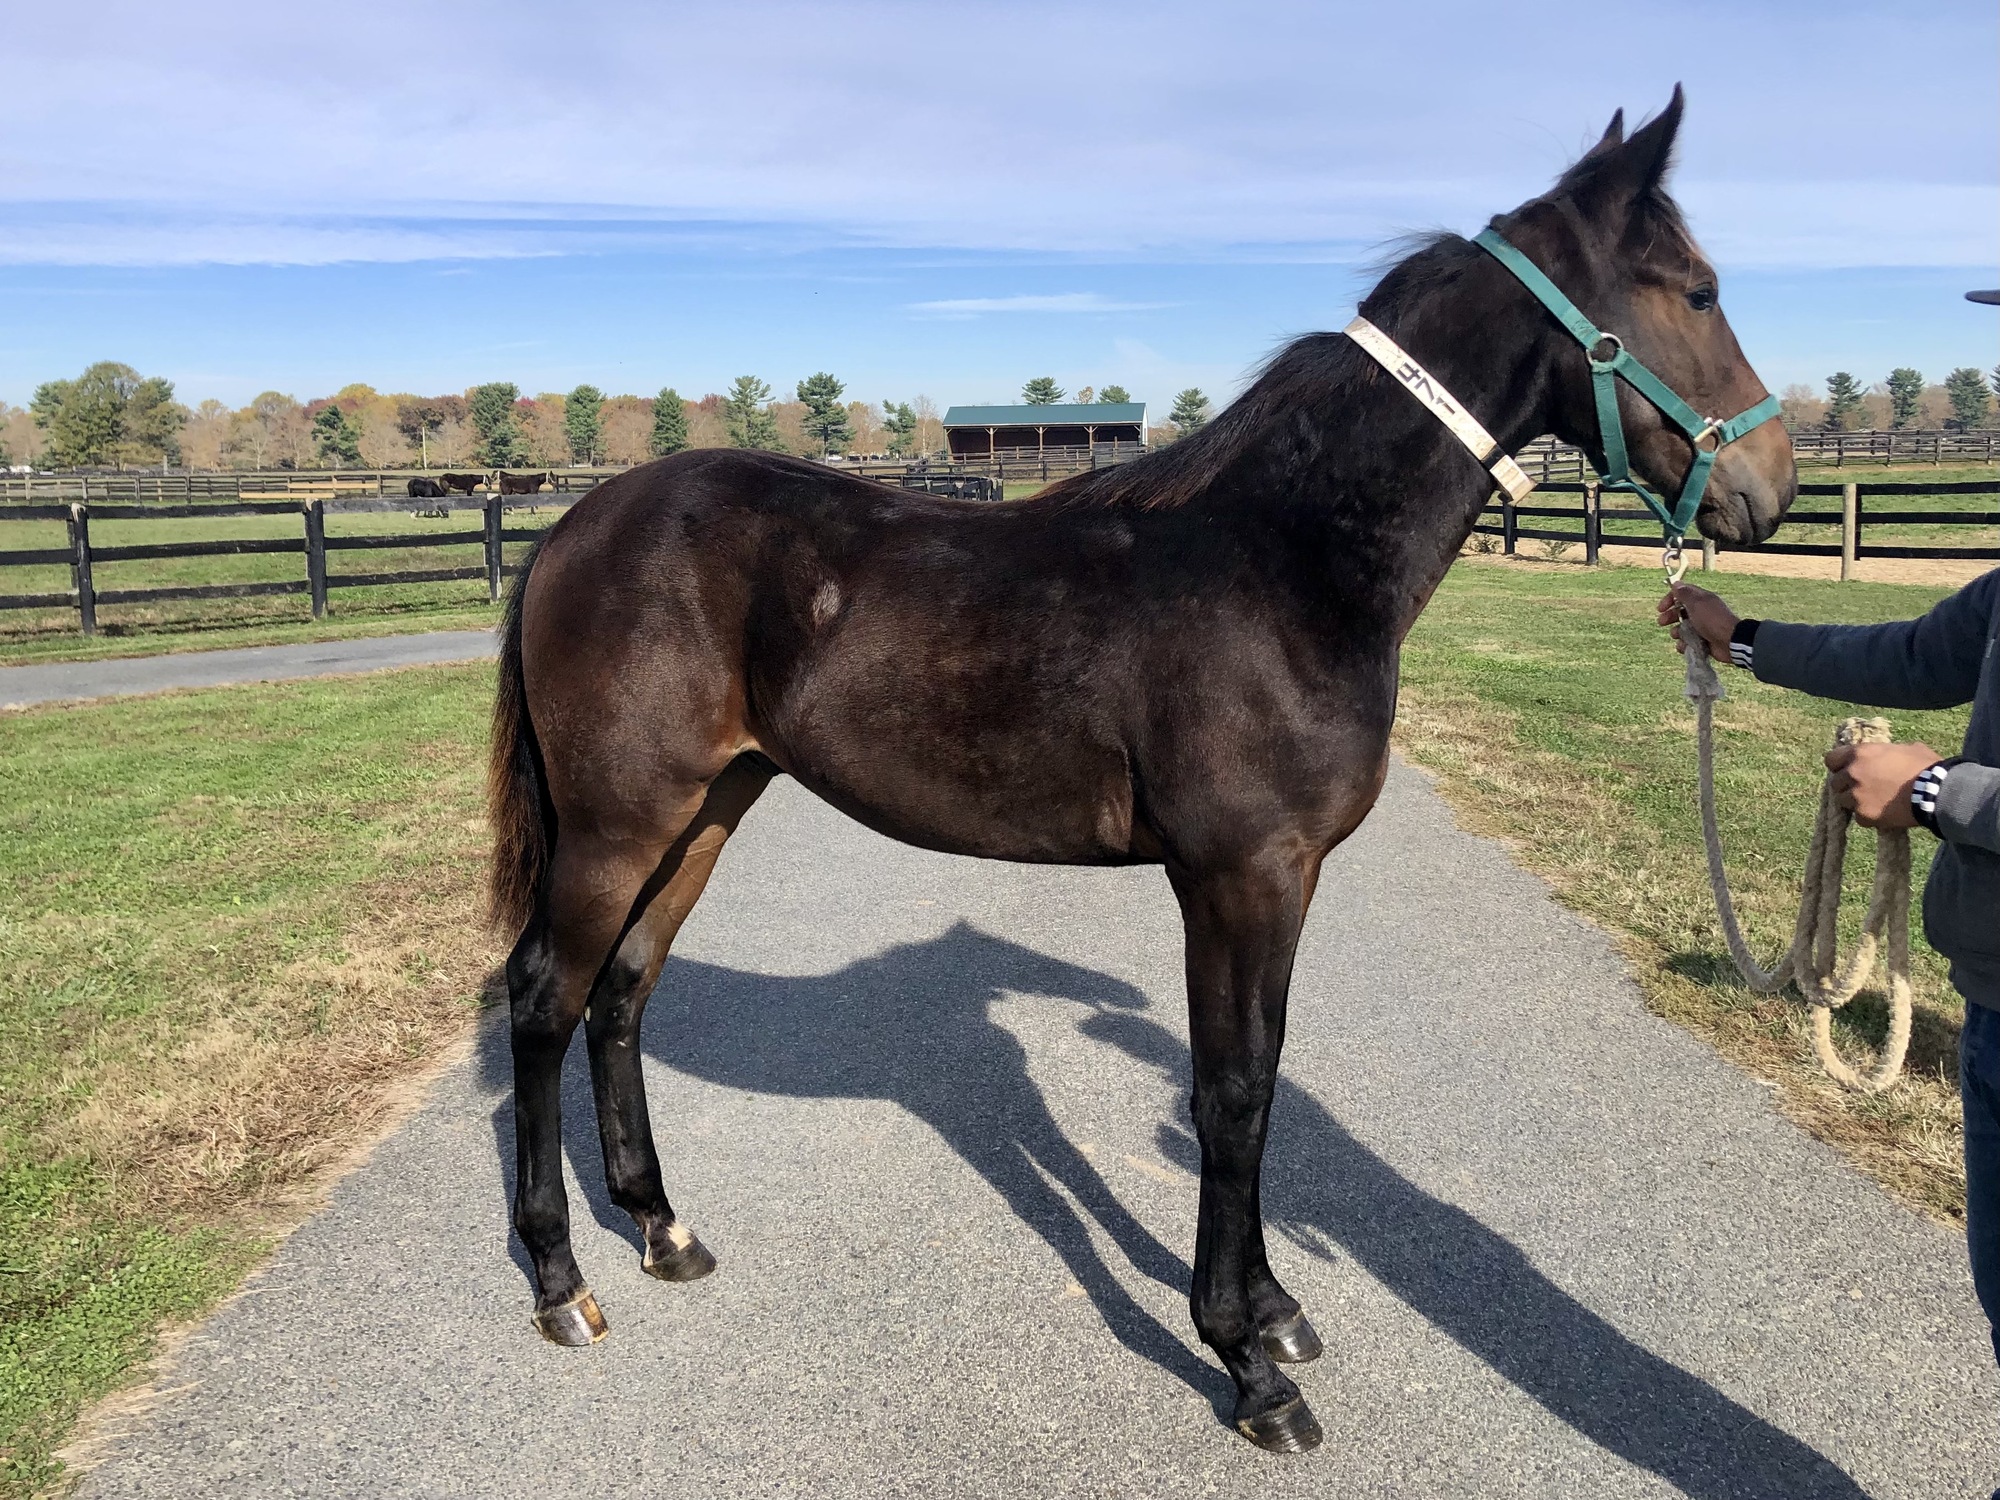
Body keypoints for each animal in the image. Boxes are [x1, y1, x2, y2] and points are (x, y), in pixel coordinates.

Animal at [488, 89, 1796, 1453]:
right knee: (542, 996)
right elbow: (1230, 1092)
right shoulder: (1236, 876)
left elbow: (1258, 1079)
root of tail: (574, 525)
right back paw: (560, 1282)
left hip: (704, 810)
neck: (1284, 560)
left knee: (623, 993)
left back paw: (660, 1230)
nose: (1772, 488)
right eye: (1697, 290)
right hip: (617, 824)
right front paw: (1247, 1364)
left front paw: (1272, 1313)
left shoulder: (1278, 880)